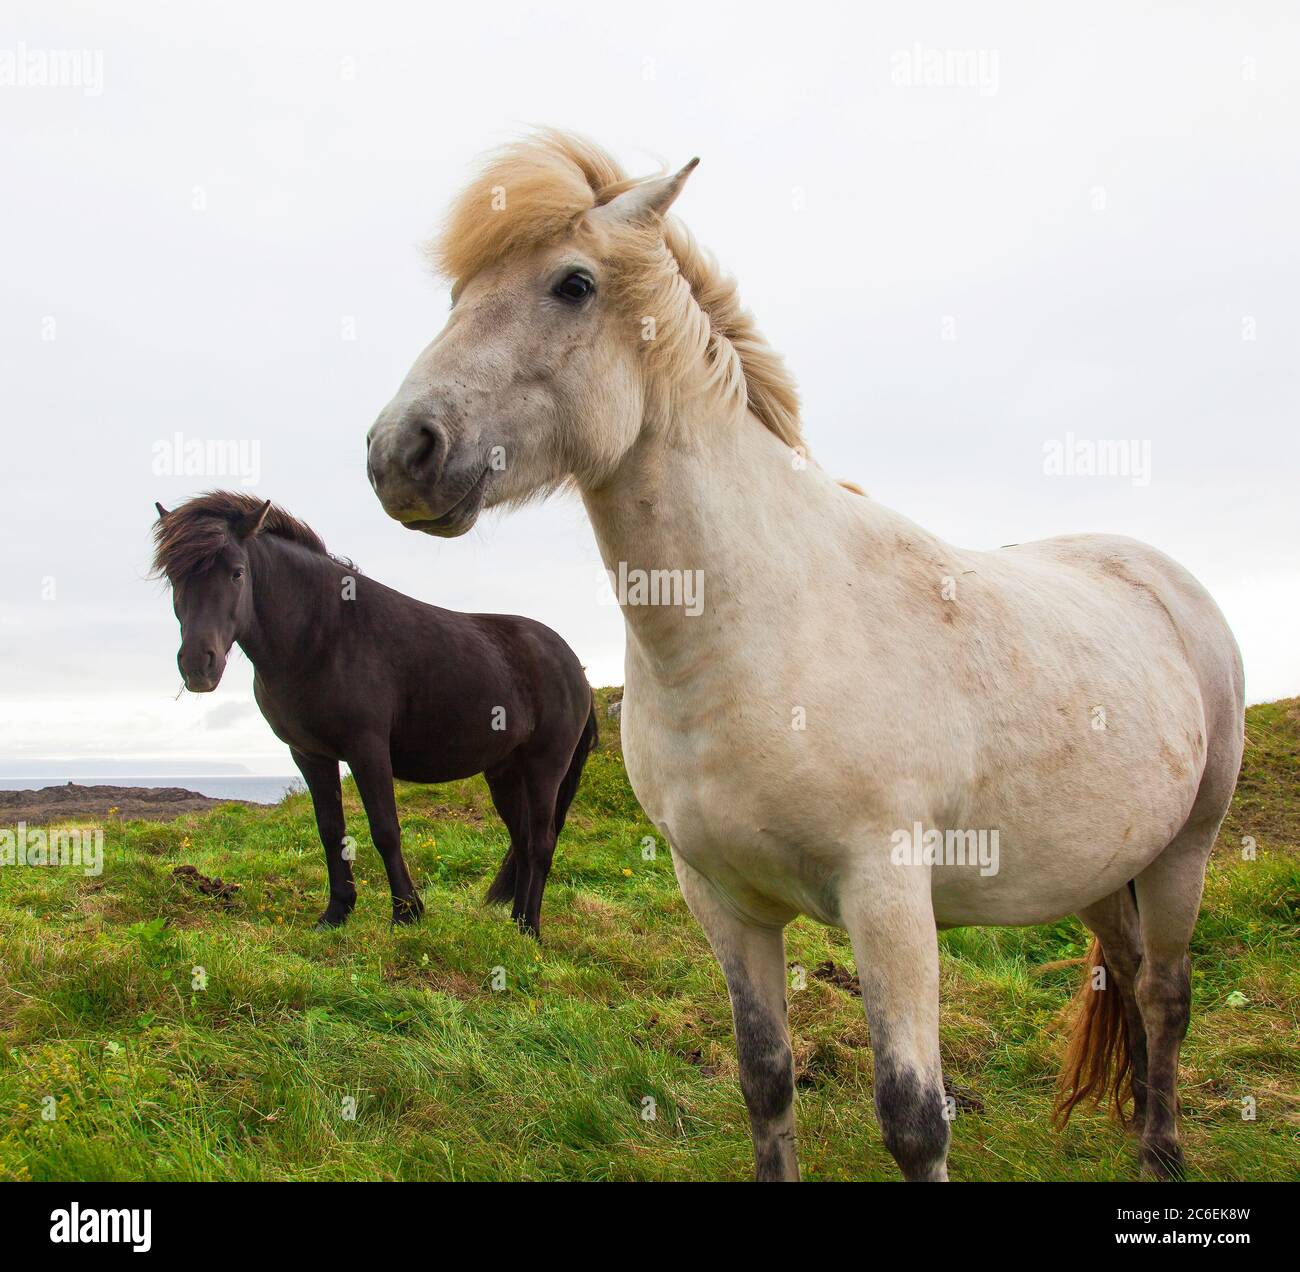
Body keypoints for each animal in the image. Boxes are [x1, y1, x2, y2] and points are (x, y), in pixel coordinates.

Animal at [152, 491, 597, 937]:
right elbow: (331, 831)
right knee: (521, 840)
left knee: (541, 842)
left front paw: (406, 913)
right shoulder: (310, 755)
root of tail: (573, 663)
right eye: (174, 577)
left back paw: (530, 930)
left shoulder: (367, 749)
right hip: (504, 771)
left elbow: (385, 830)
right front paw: (336, 913)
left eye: (237, 573)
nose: (198, 665)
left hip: (545, 767)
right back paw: (516, 921)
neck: (323, 634)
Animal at [364, 132, 1245, 1181]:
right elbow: (767, 1081)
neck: (754, 634)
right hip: (1106, 868)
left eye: (572, 284)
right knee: (1128, 975)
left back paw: (1163, 1152)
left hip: (1186, 850)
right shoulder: (723, 900)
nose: (400, 453)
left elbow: (913, 1118)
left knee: (1164, 993)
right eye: (458, 295)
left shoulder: (889, 897)